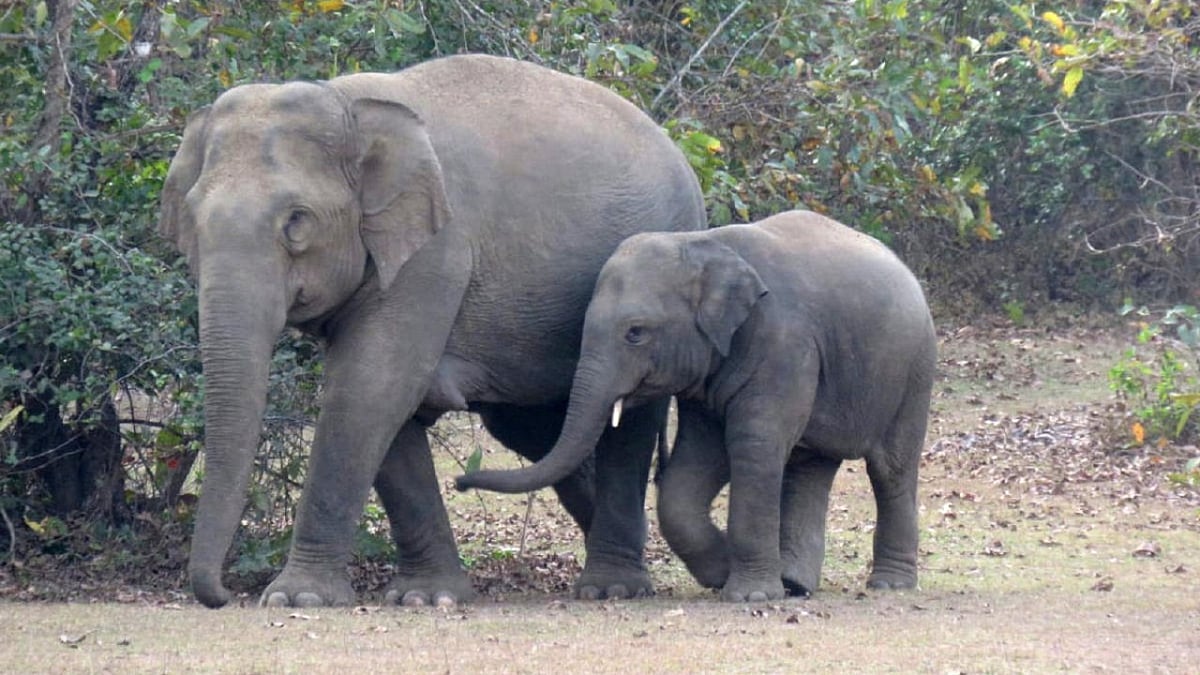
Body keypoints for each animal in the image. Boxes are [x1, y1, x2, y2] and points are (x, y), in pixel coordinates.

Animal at [158, 54, 705, 609]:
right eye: (193, 222)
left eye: (296, 221)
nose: (223, 595)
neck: (347, 104)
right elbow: (385, 402)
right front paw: (425, 597)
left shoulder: (436, 251)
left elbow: (370, 388)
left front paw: (298, 599)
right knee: (535, 431)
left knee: (627, 424)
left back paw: (615, 587)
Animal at [456, 210, 936, 602]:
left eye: (635, 333)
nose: (460, 482)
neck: (701, 244)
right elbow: (697, 462)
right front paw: (726, 575)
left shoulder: (785, 345)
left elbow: (753, 446)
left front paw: (750, 596)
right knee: (810, 467)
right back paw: (797, 583)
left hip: (915, 371)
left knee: (891, 468)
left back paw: (889, 584)